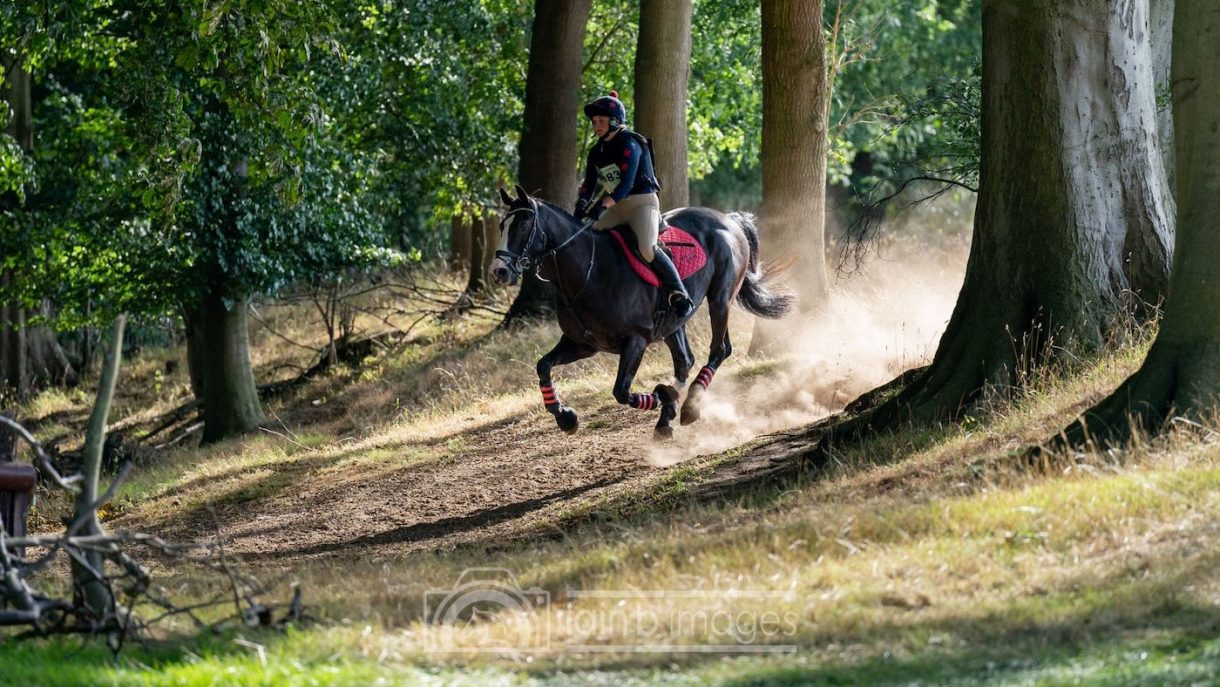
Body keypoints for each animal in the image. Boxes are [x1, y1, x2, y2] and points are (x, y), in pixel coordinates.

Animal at [491, 184, 794, 440]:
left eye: (524, 224)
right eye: (501, 225)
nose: (500, 271)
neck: (588, 270)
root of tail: (728, 219)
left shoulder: (635, 340)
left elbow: (621, 391)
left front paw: (666, 395)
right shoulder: (583, 344)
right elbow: (543, 365)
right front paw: (565, 417)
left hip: (720, 299)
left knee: (719, 349)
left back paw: (688, 406)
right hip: (674, 322)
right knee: (684, 360)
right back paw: (666, 420)